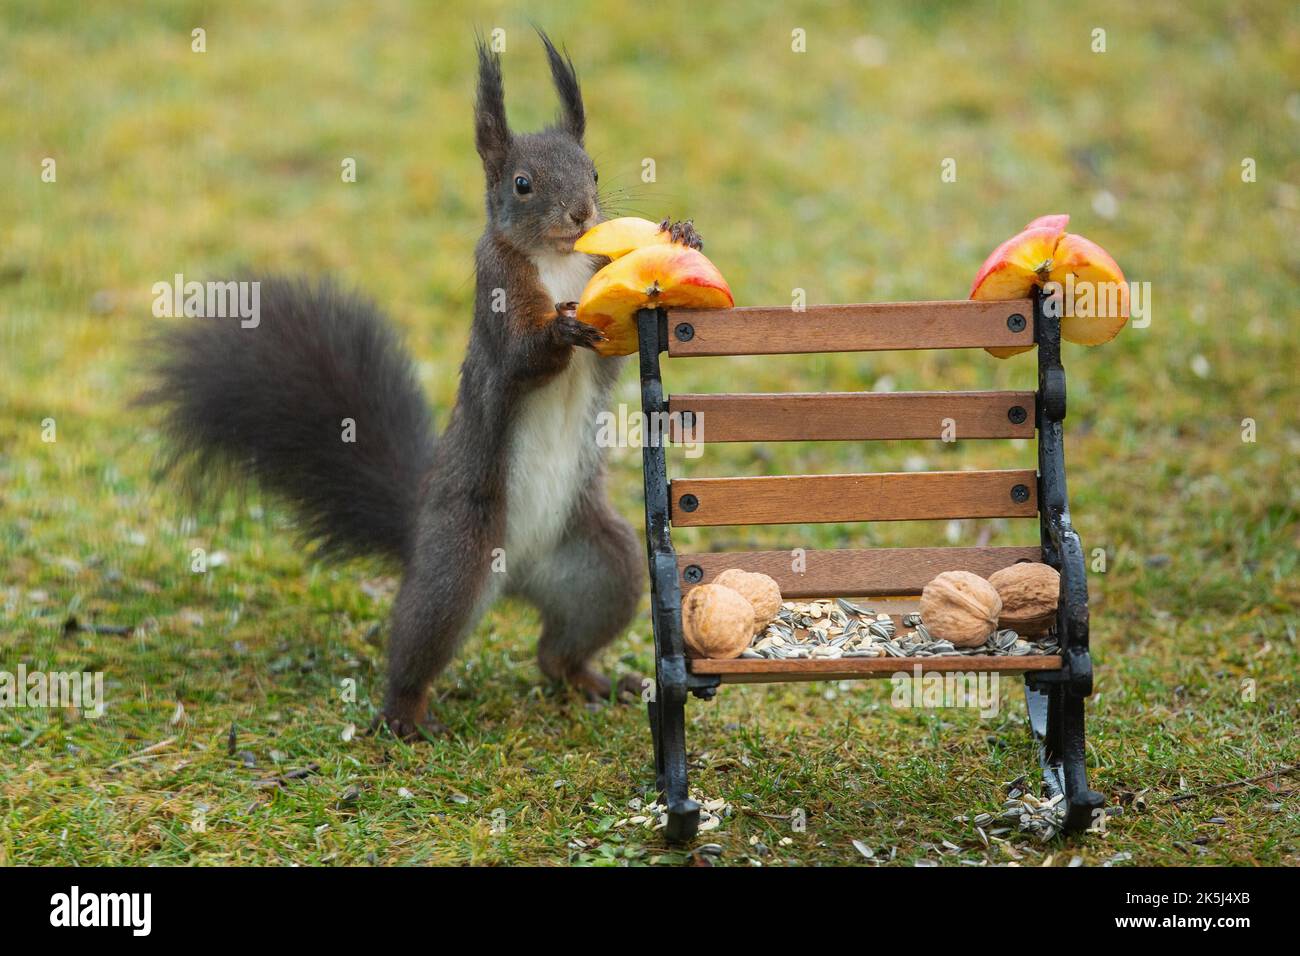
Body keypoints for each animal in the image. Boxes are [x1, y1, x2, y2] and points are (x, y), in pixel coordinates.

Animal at [144, 32, 703, 740]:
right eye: (522, 184)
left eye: (595, 173)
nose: (582, 214)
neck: (556, 261)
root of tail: (515, 575)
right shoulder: (496, 296)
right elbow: (520, 357)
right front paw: (561, 329)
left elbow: (612, 359)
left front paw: (681, 234)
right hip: (455, 564)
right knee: (416, 646)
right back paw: (405, 717)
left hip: (603, 566)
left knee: (557, 649)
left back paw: (593, 680)